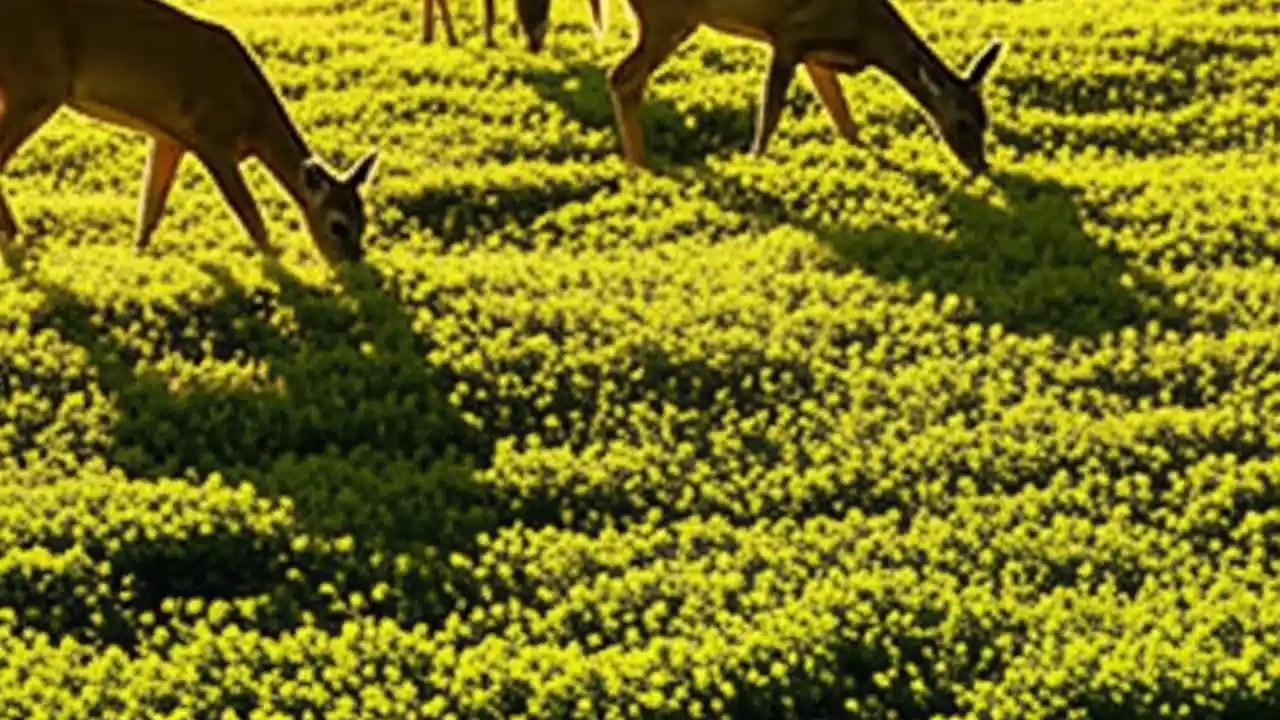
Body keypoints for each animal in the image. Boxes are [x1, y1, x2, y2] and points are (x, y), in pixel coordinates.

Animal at [0, 0, 380, 267]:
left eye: (365, 221)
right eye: (338, 225)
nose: (352, 265)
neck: (253, 118)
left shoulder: (170, 138)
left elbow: (151, 207)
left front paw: (138, 257)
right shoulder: (211, 138)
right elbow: (248, 211)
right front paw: (277, 262)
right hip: (38, 85)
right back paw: (18, 238)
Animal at [538, 0, 1005, 177]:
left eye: (987, 120)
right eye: (963, 123)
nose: (981, 165)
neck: (864, 33)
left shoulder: (815, 54)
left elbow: (841, 113)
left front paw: (863, 151)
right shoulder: (789, 37)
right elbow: (772, 111)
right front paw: (754, 160)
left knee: (624, 77)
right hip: (669, 18)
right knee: (623, 77)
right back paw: (640, 165)